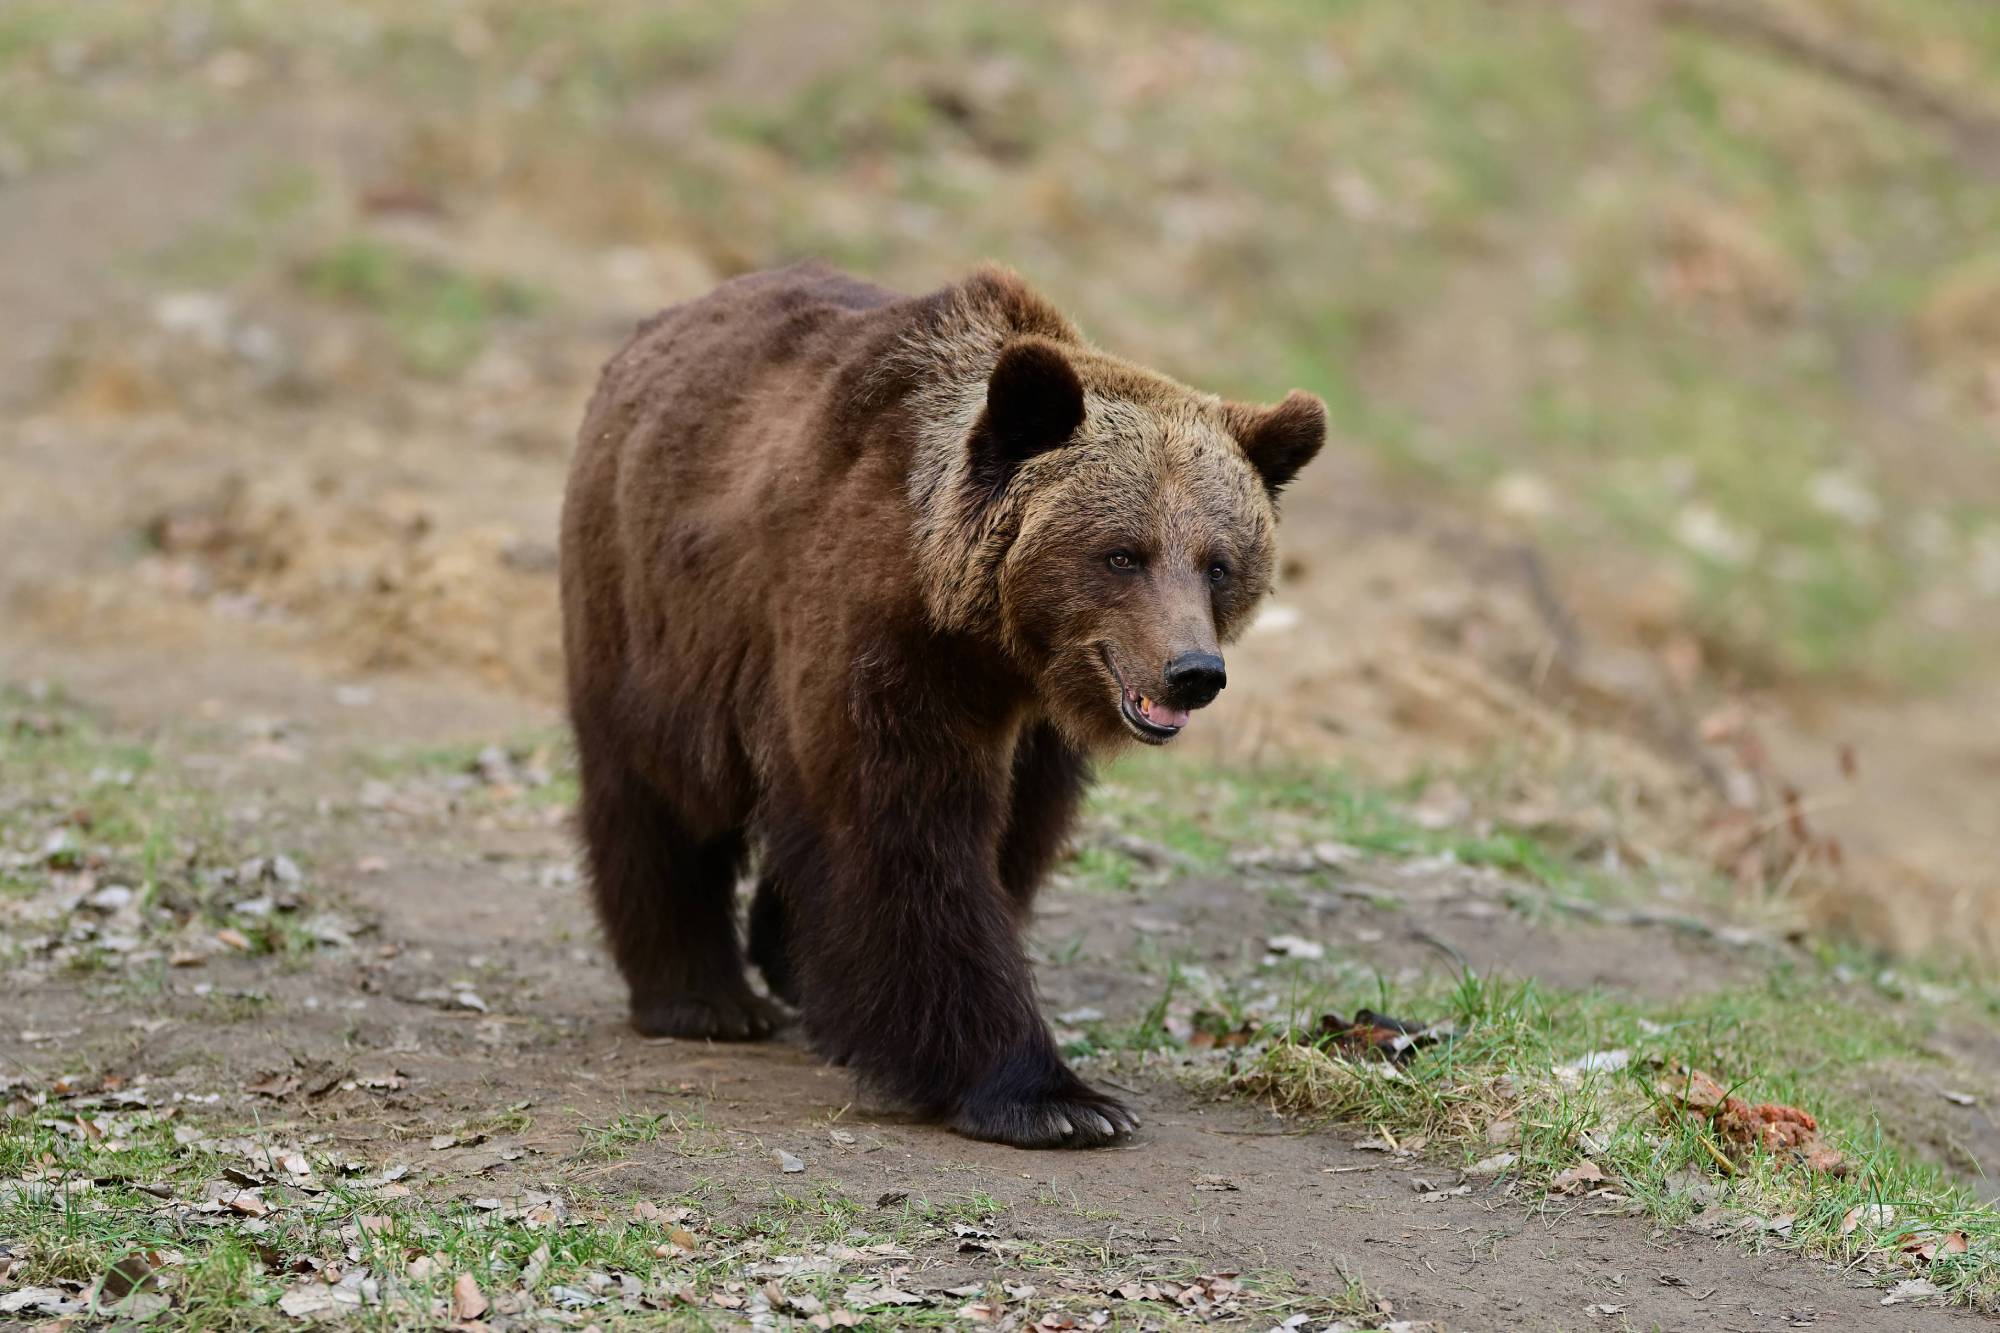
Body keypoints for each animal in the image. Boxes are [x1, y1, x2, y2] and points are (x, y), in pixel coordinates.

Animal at [559, 261, 1324, 1147]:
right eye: (1122, 553)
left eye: (1219, 563)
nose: (1191, 671)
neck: (991, 640)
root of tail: (660, 326)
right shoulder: (876, 639)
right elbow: (905, 836)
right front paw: (1056, 1099)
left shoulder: (1036, 728)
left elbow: (1011, 834)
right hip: (651, 611)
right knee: (655, 794)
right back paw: (703, 997)